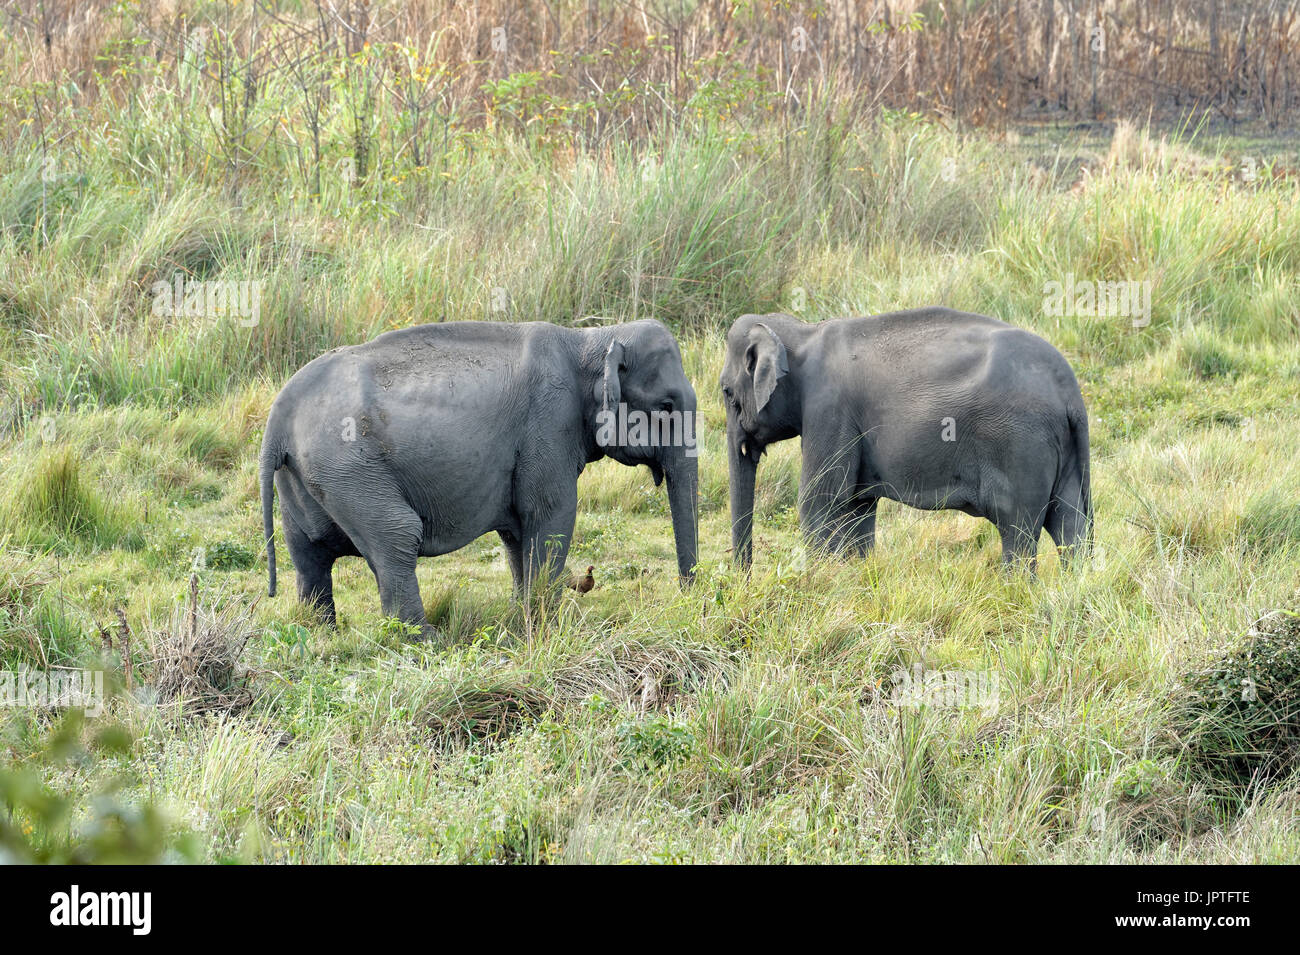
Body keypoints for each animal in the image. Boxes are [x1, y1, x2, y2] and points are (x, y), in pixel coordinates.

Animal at [259, 319, 698, 632]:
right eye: (665, 407)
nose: (687, 600)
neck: (592, 338)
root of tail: (276, 419)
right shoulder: (549, 425)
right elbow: (550, 517)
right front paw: (543, 628)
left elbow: (518, 533)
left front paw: (523, 621)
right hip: (350, 467)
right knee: (396, 536)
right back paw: (424, 640)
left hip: (306, 478)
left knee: (309, 555)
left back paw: (323, 635)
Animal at [721, 308, 1092, 570]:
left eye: (726, 392)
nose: (744, 578)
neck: (803, 330)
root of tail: (1069, 389)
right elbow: (858, 506)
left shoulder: (828, 410)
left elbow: (820, 502)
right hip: (1062, 449)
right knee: (1070, 525)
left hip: (1019, 445)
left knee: (1019, 530)